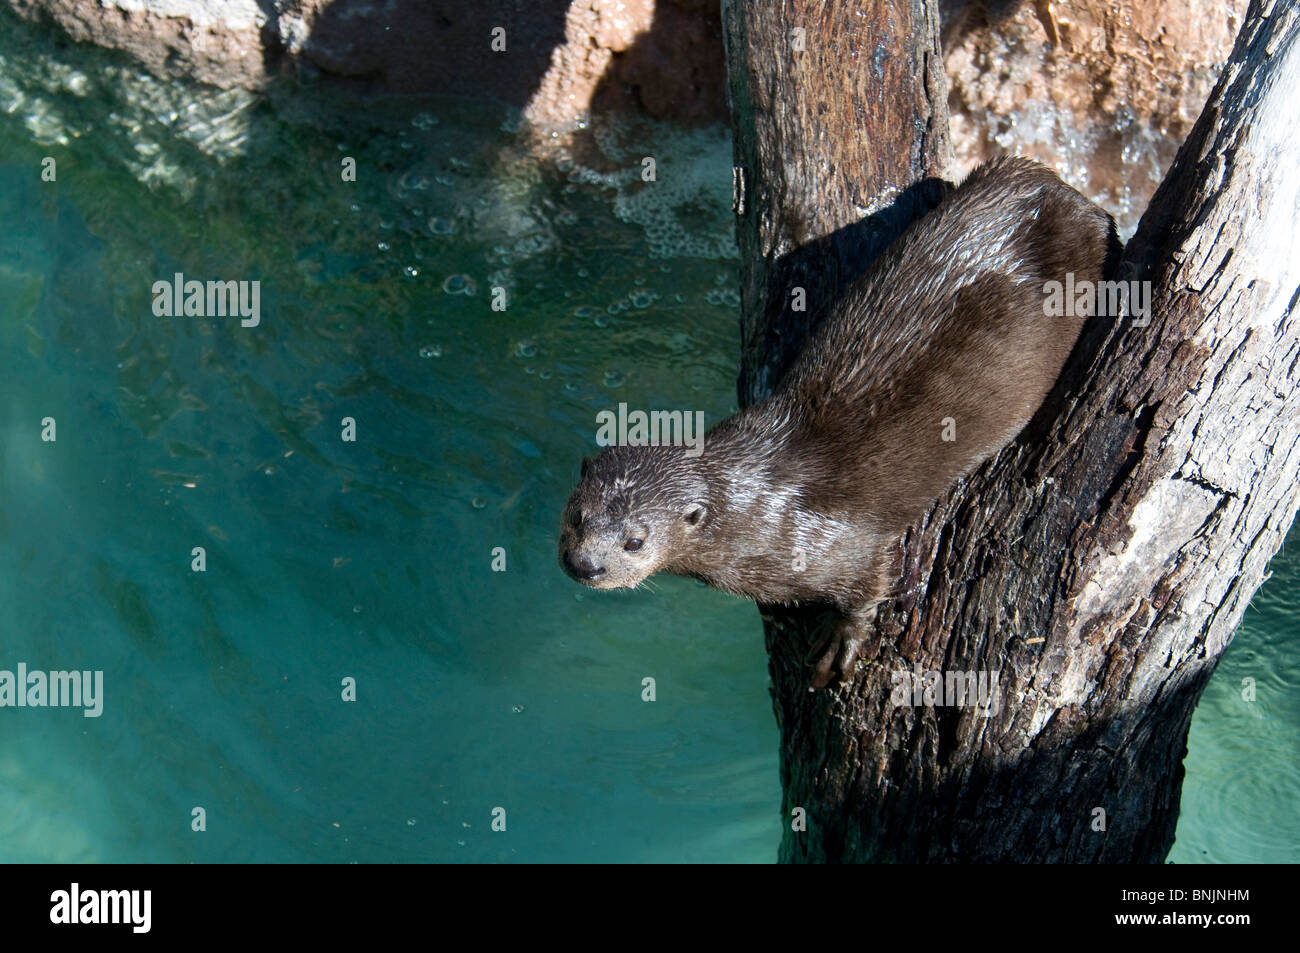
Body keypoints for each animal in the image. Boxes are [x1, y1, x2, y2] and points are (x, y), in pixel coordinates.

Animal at [558, 157, 1115, 688]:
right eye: (577, 516)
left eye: (635, 541)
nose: (585, 565)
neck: (754, 511)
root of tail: (1059, 191)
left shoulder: (837, 548)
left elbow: (868, 584)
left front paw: (840, 644)